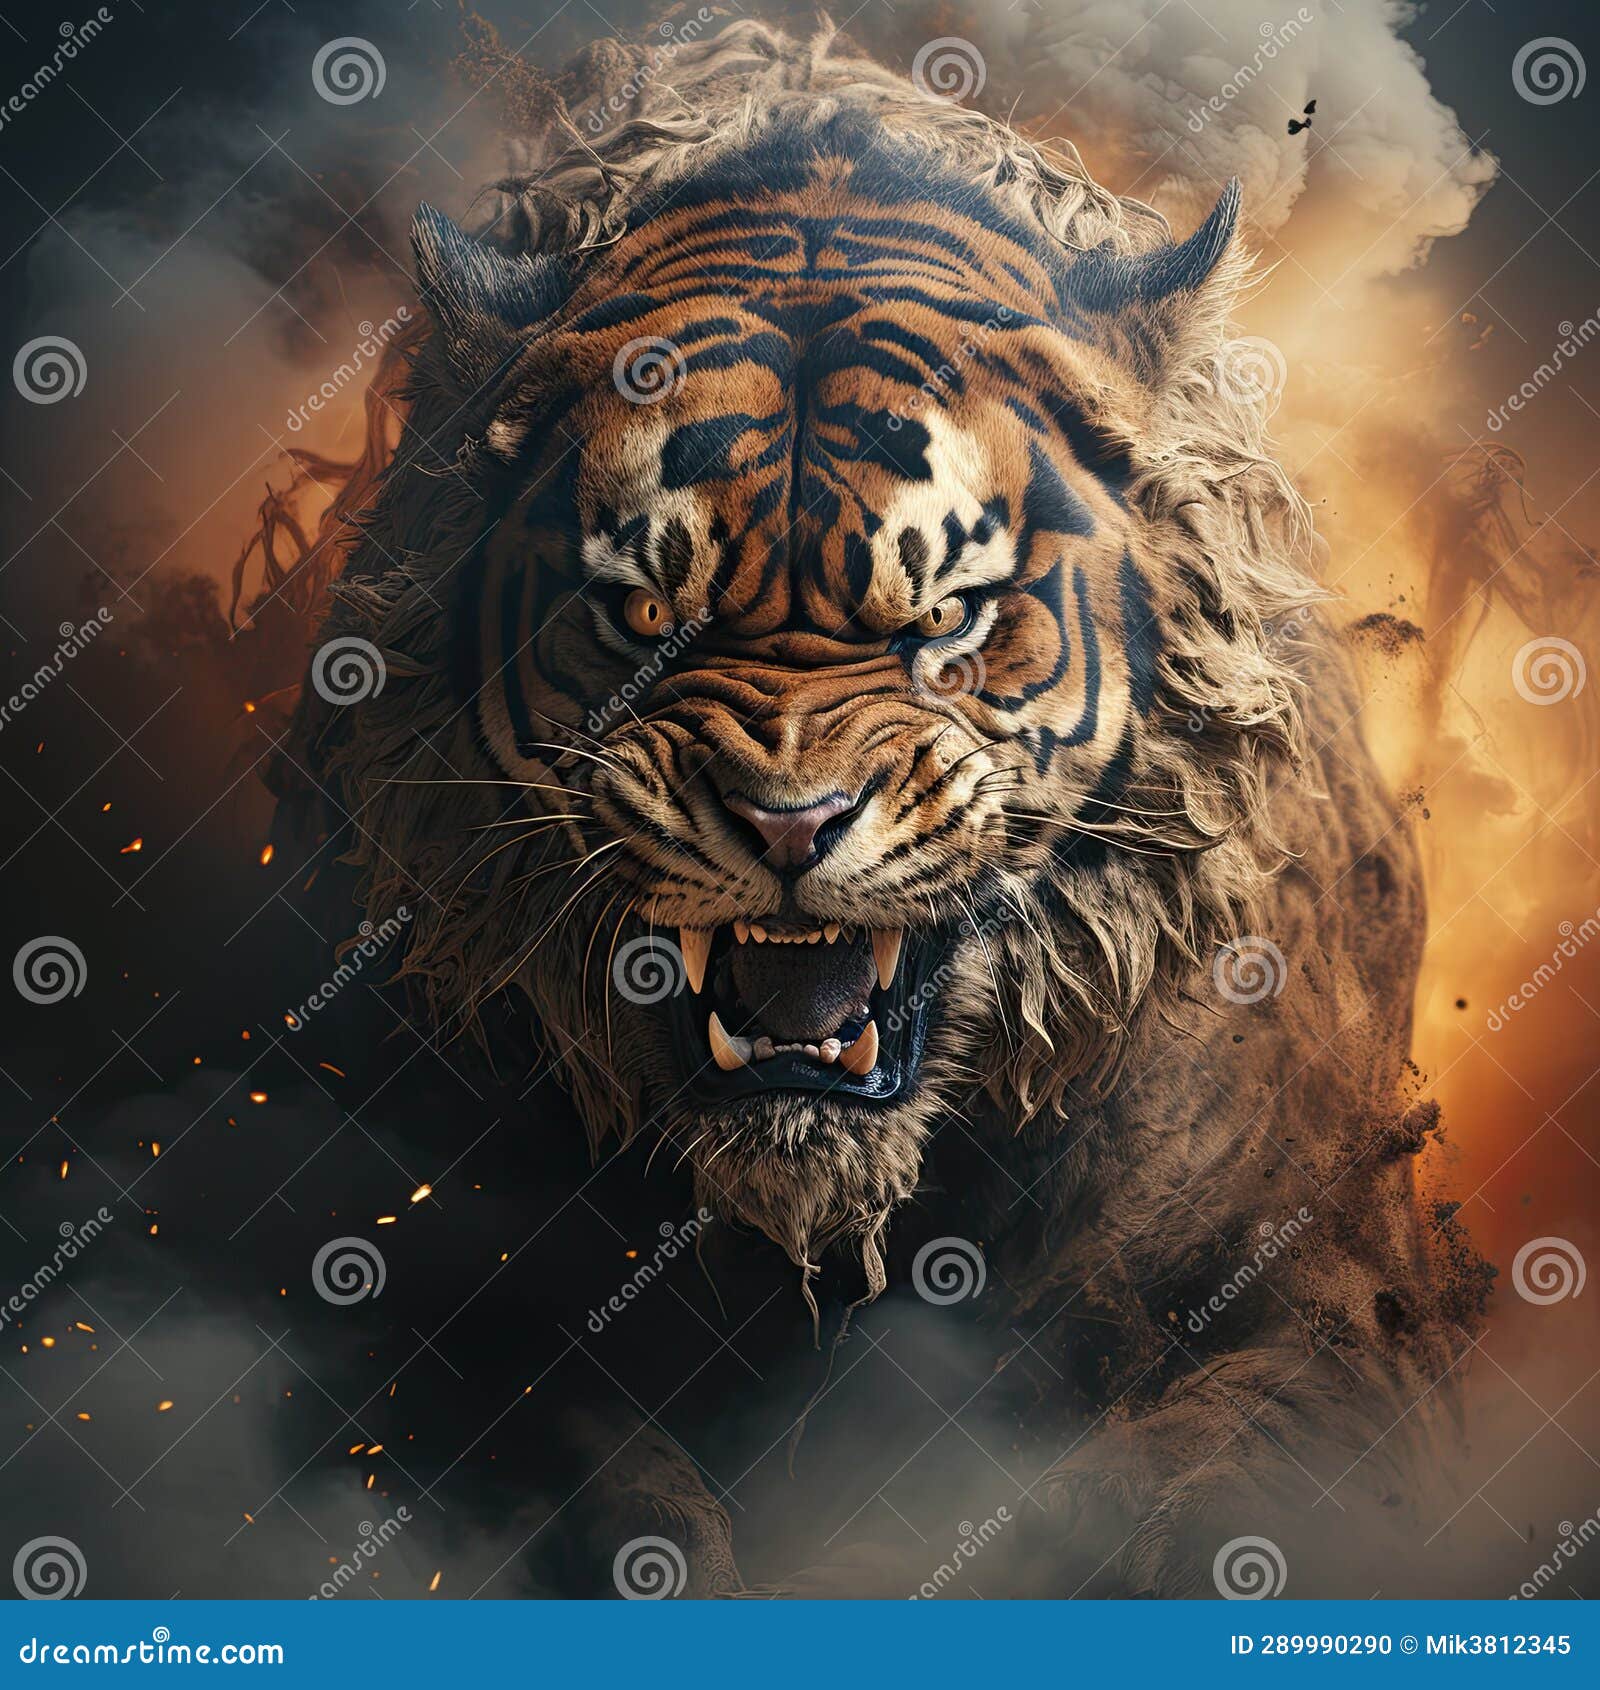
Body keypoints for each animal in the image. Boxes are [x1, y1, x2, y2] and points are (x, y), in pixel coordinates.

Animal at [286, 21, 1483, 1595]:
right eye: (643, 609)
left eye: (952, 611)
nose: (790, 824)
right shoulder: (443, 1323)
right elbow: (620, 1500)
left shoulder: (1329, 1299)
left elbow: (1199, 1485)